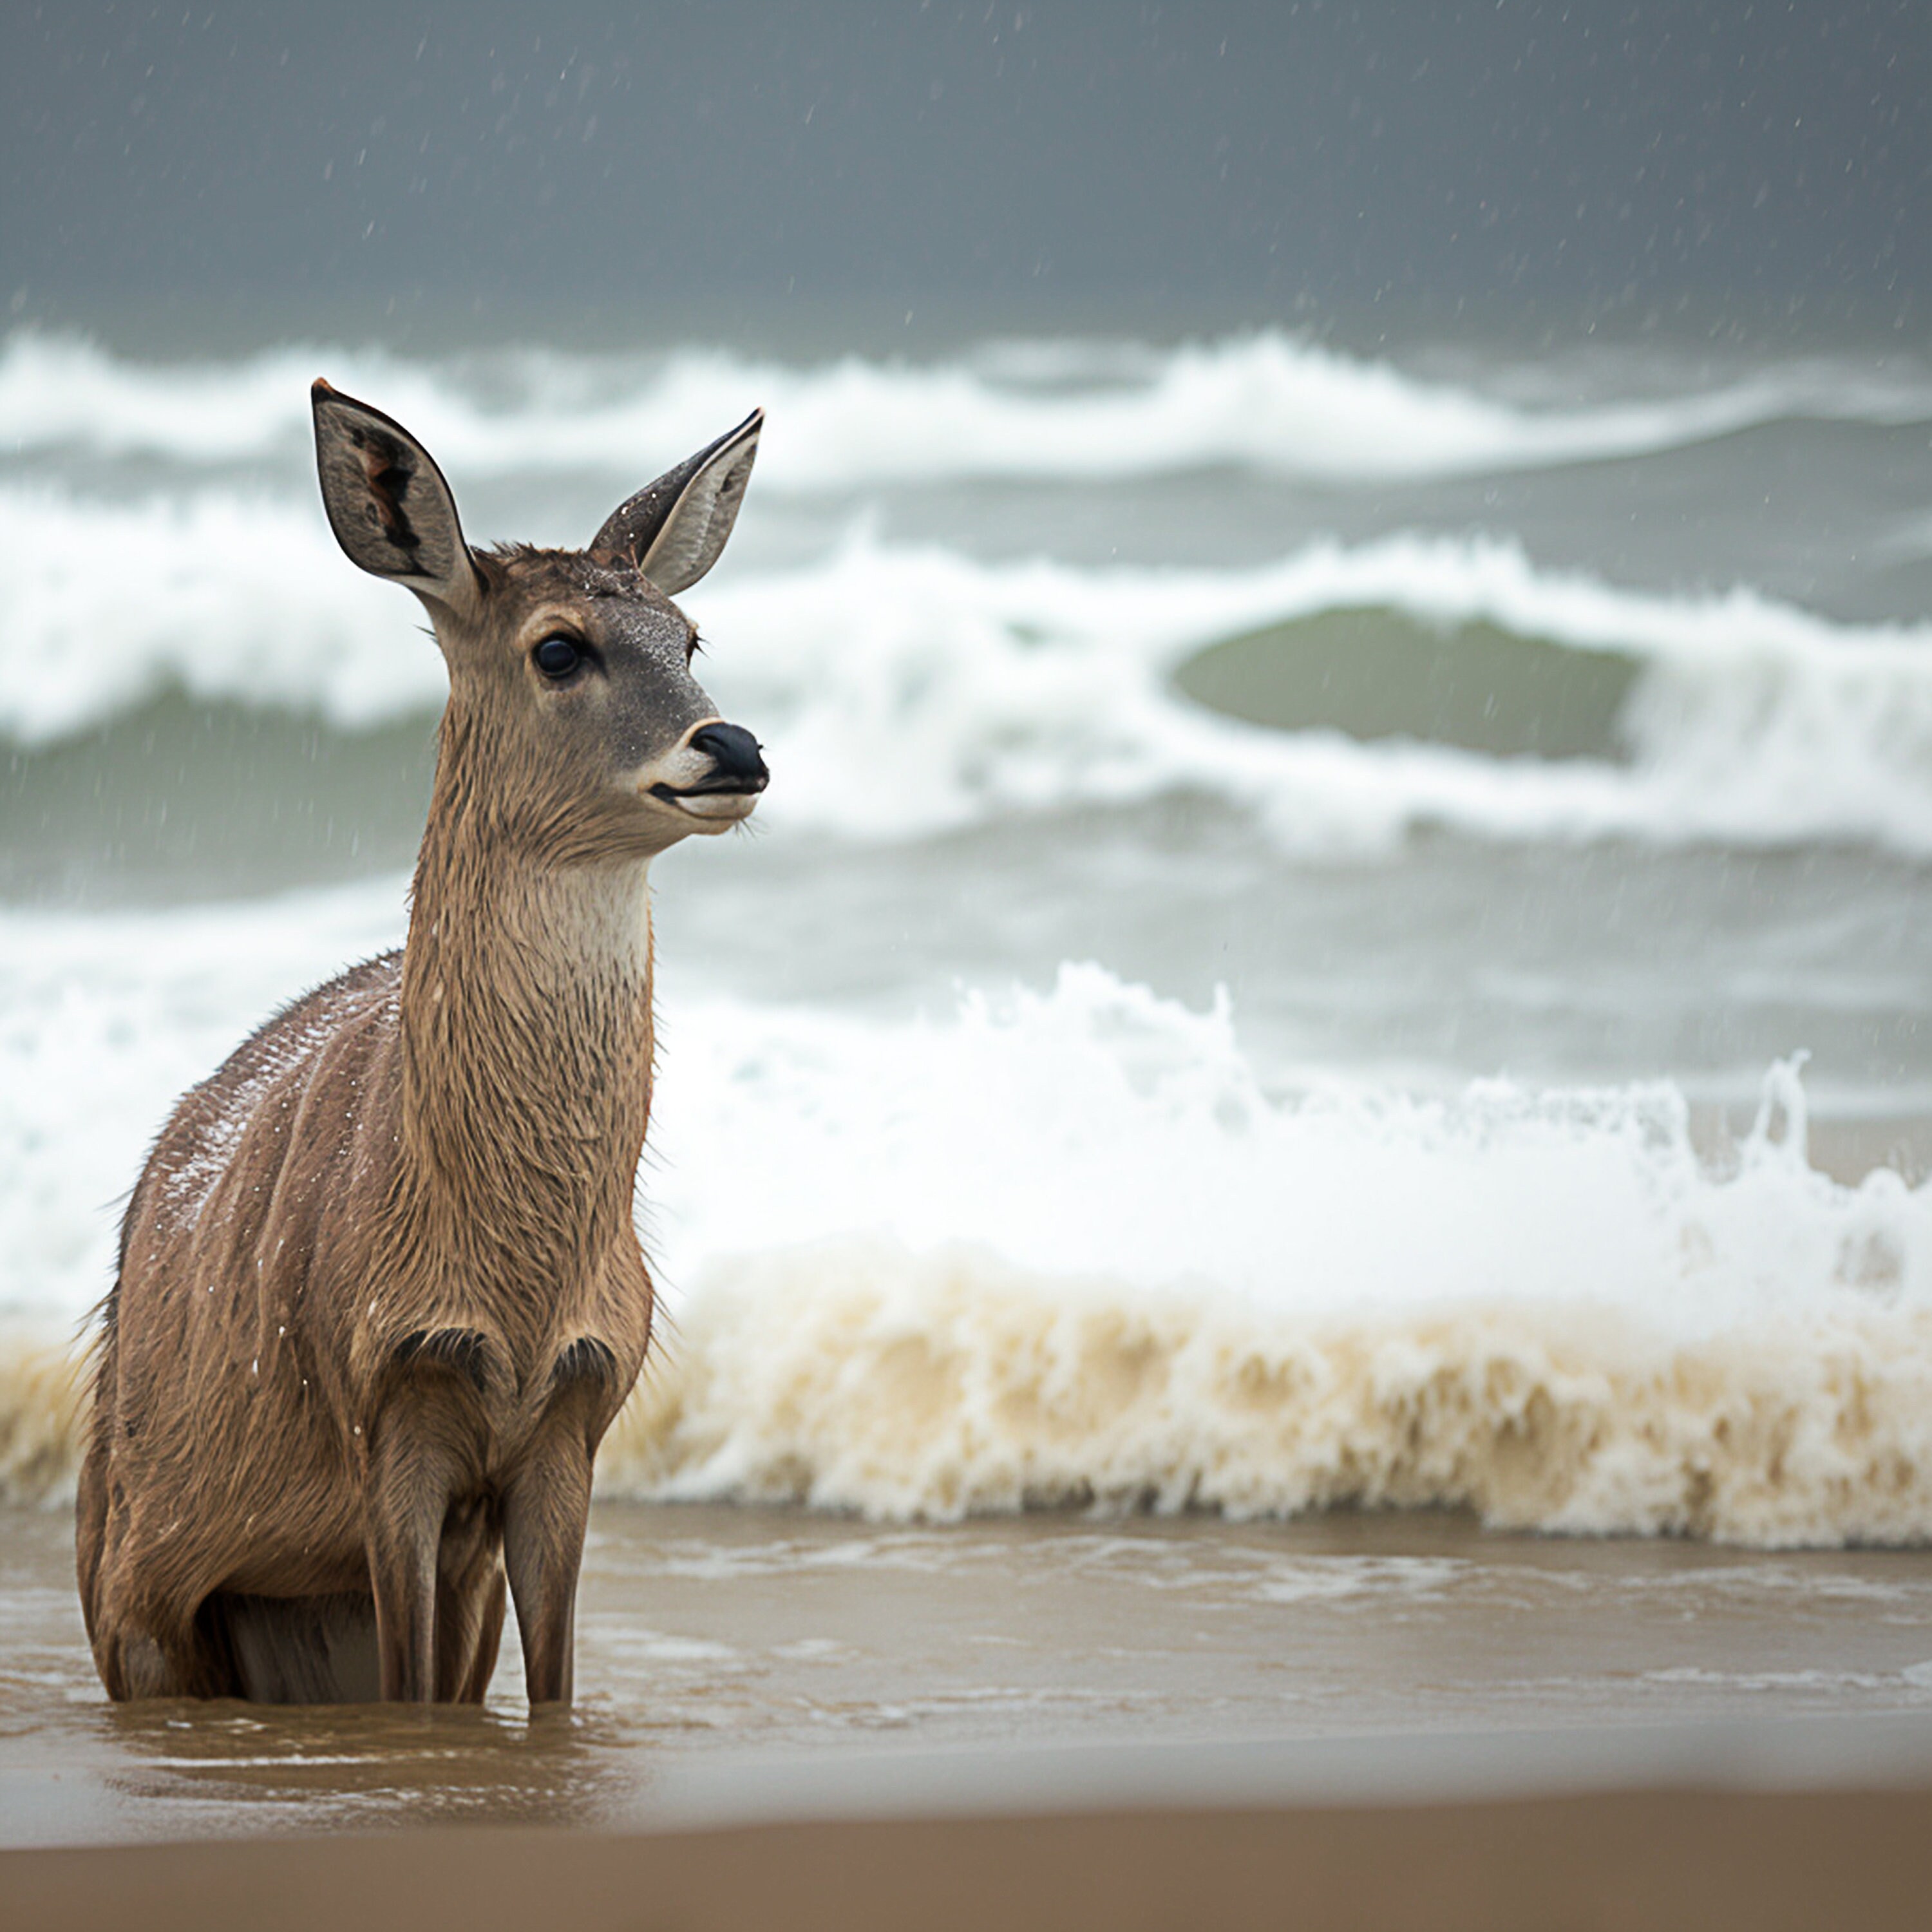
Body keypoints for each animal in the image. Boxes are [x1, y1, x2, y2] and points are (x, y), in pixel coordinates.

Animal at [75, 381, 767, 1706]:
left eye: (690, 638)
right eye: (559, 646)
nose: (735, 750)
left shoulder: (573, 1423)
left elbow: (550, 1697)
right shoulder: (388, 1408)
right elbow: (411, 1705)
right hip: (133, 1599)